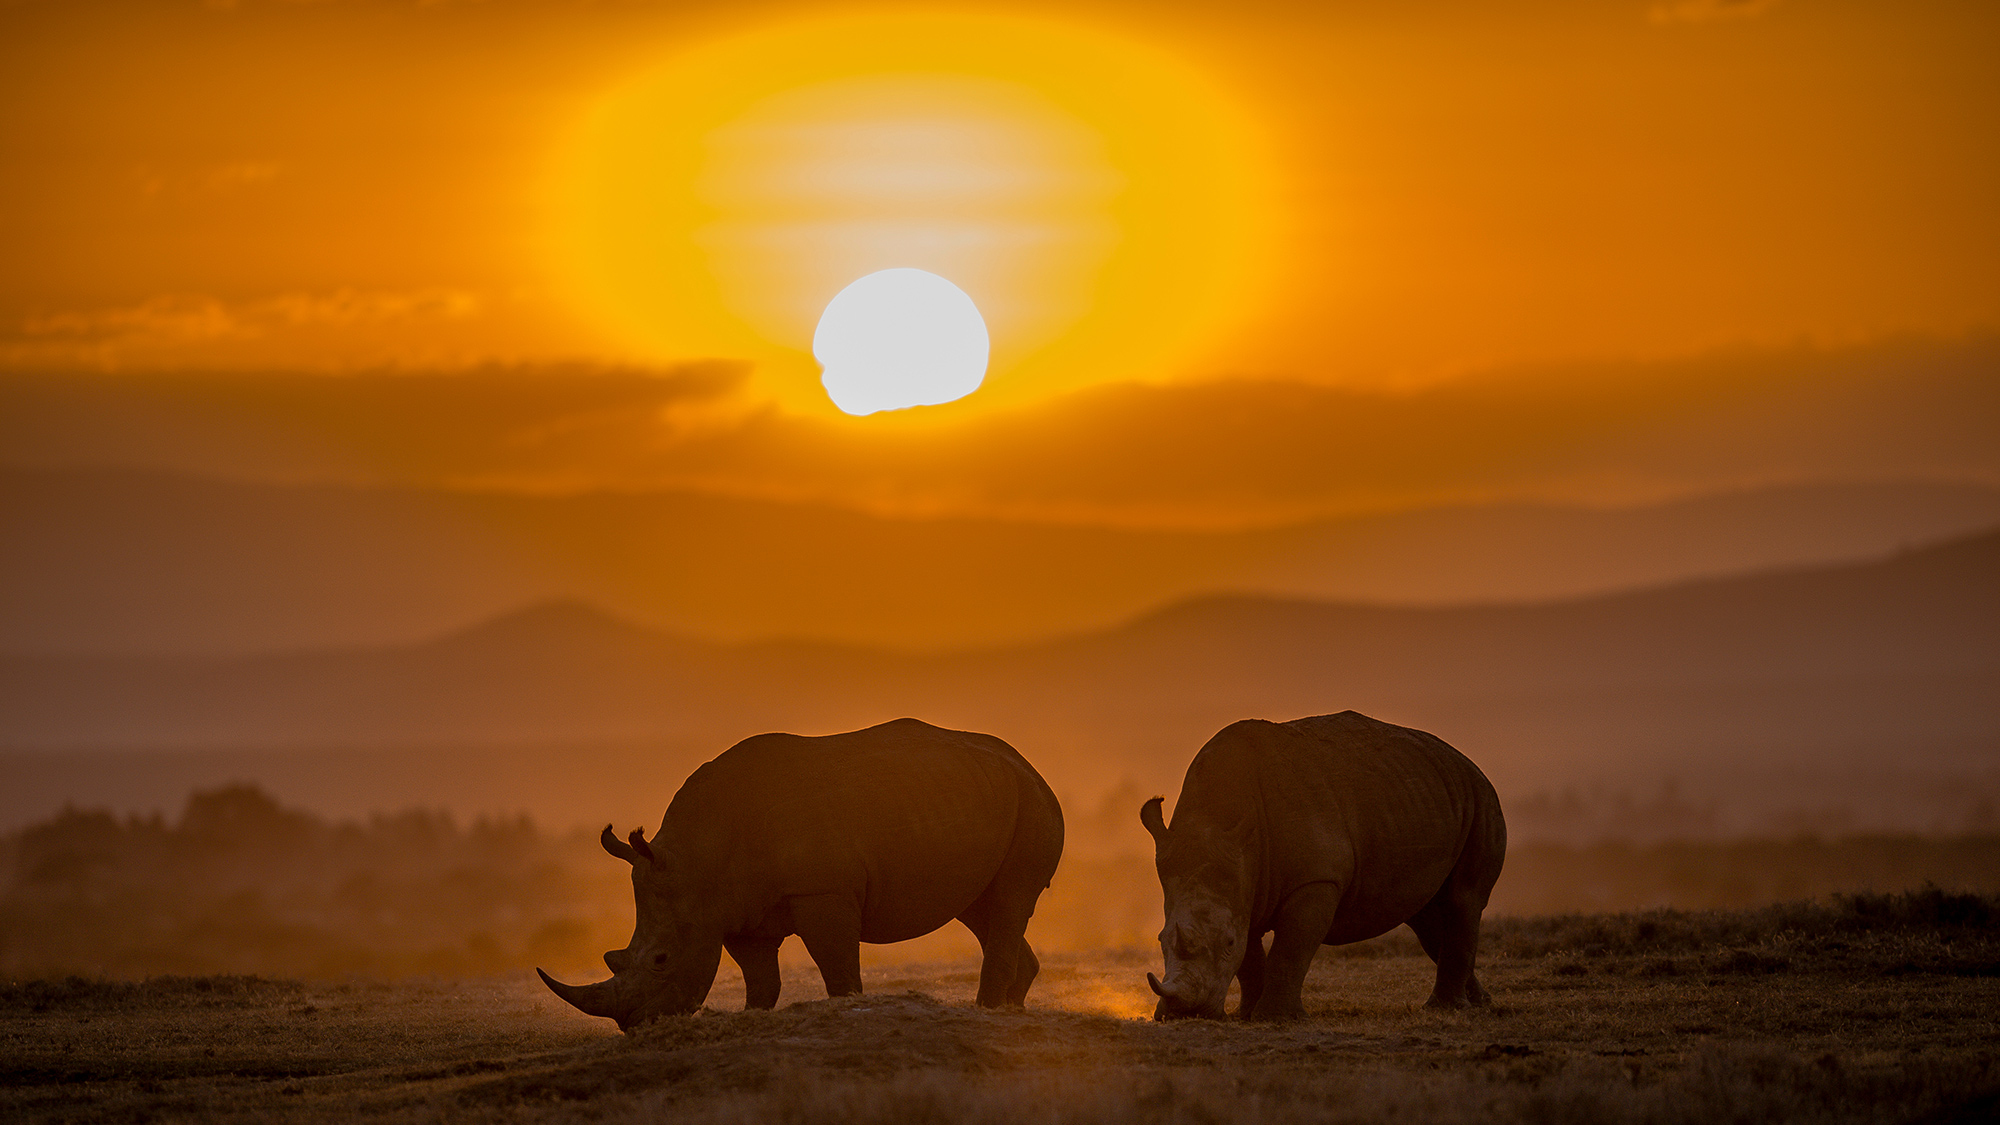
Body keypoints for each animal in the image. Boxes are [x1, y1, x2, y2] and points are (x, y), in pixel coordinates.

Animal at [538, 718, 1064, 1029]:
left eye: (662, 959)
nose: (637, 1026)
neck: (697, 858)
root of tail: (1031, 766)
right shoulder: (736, 909)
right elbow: (759, 977)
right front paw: (751, 1017)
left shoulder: (822, 891)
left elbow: (836, 965)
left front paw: (849, 1008)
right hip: (983, 795)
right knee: (982, 911)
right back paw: (1014, 1011)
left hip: (1033, 804)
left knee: (1008, 901)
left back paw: (988, 1014)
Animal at [1141, 711, 1505, 1020]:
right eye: (1160, 939)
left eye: (1227, 942)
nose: (1184, 1013)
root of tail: (1464, 760)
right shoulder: (1244, 883)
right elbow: (1251, 957)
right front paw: (1247, 1015)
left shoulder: (1316, 879)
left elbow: (1290, 948)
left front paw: (1275, 1018)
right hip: (1428, 797)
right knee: (1425, 916)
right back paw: (1480, 1004)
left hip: (1481, 797)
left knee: (1463, 899)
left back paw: (1444, 1009)